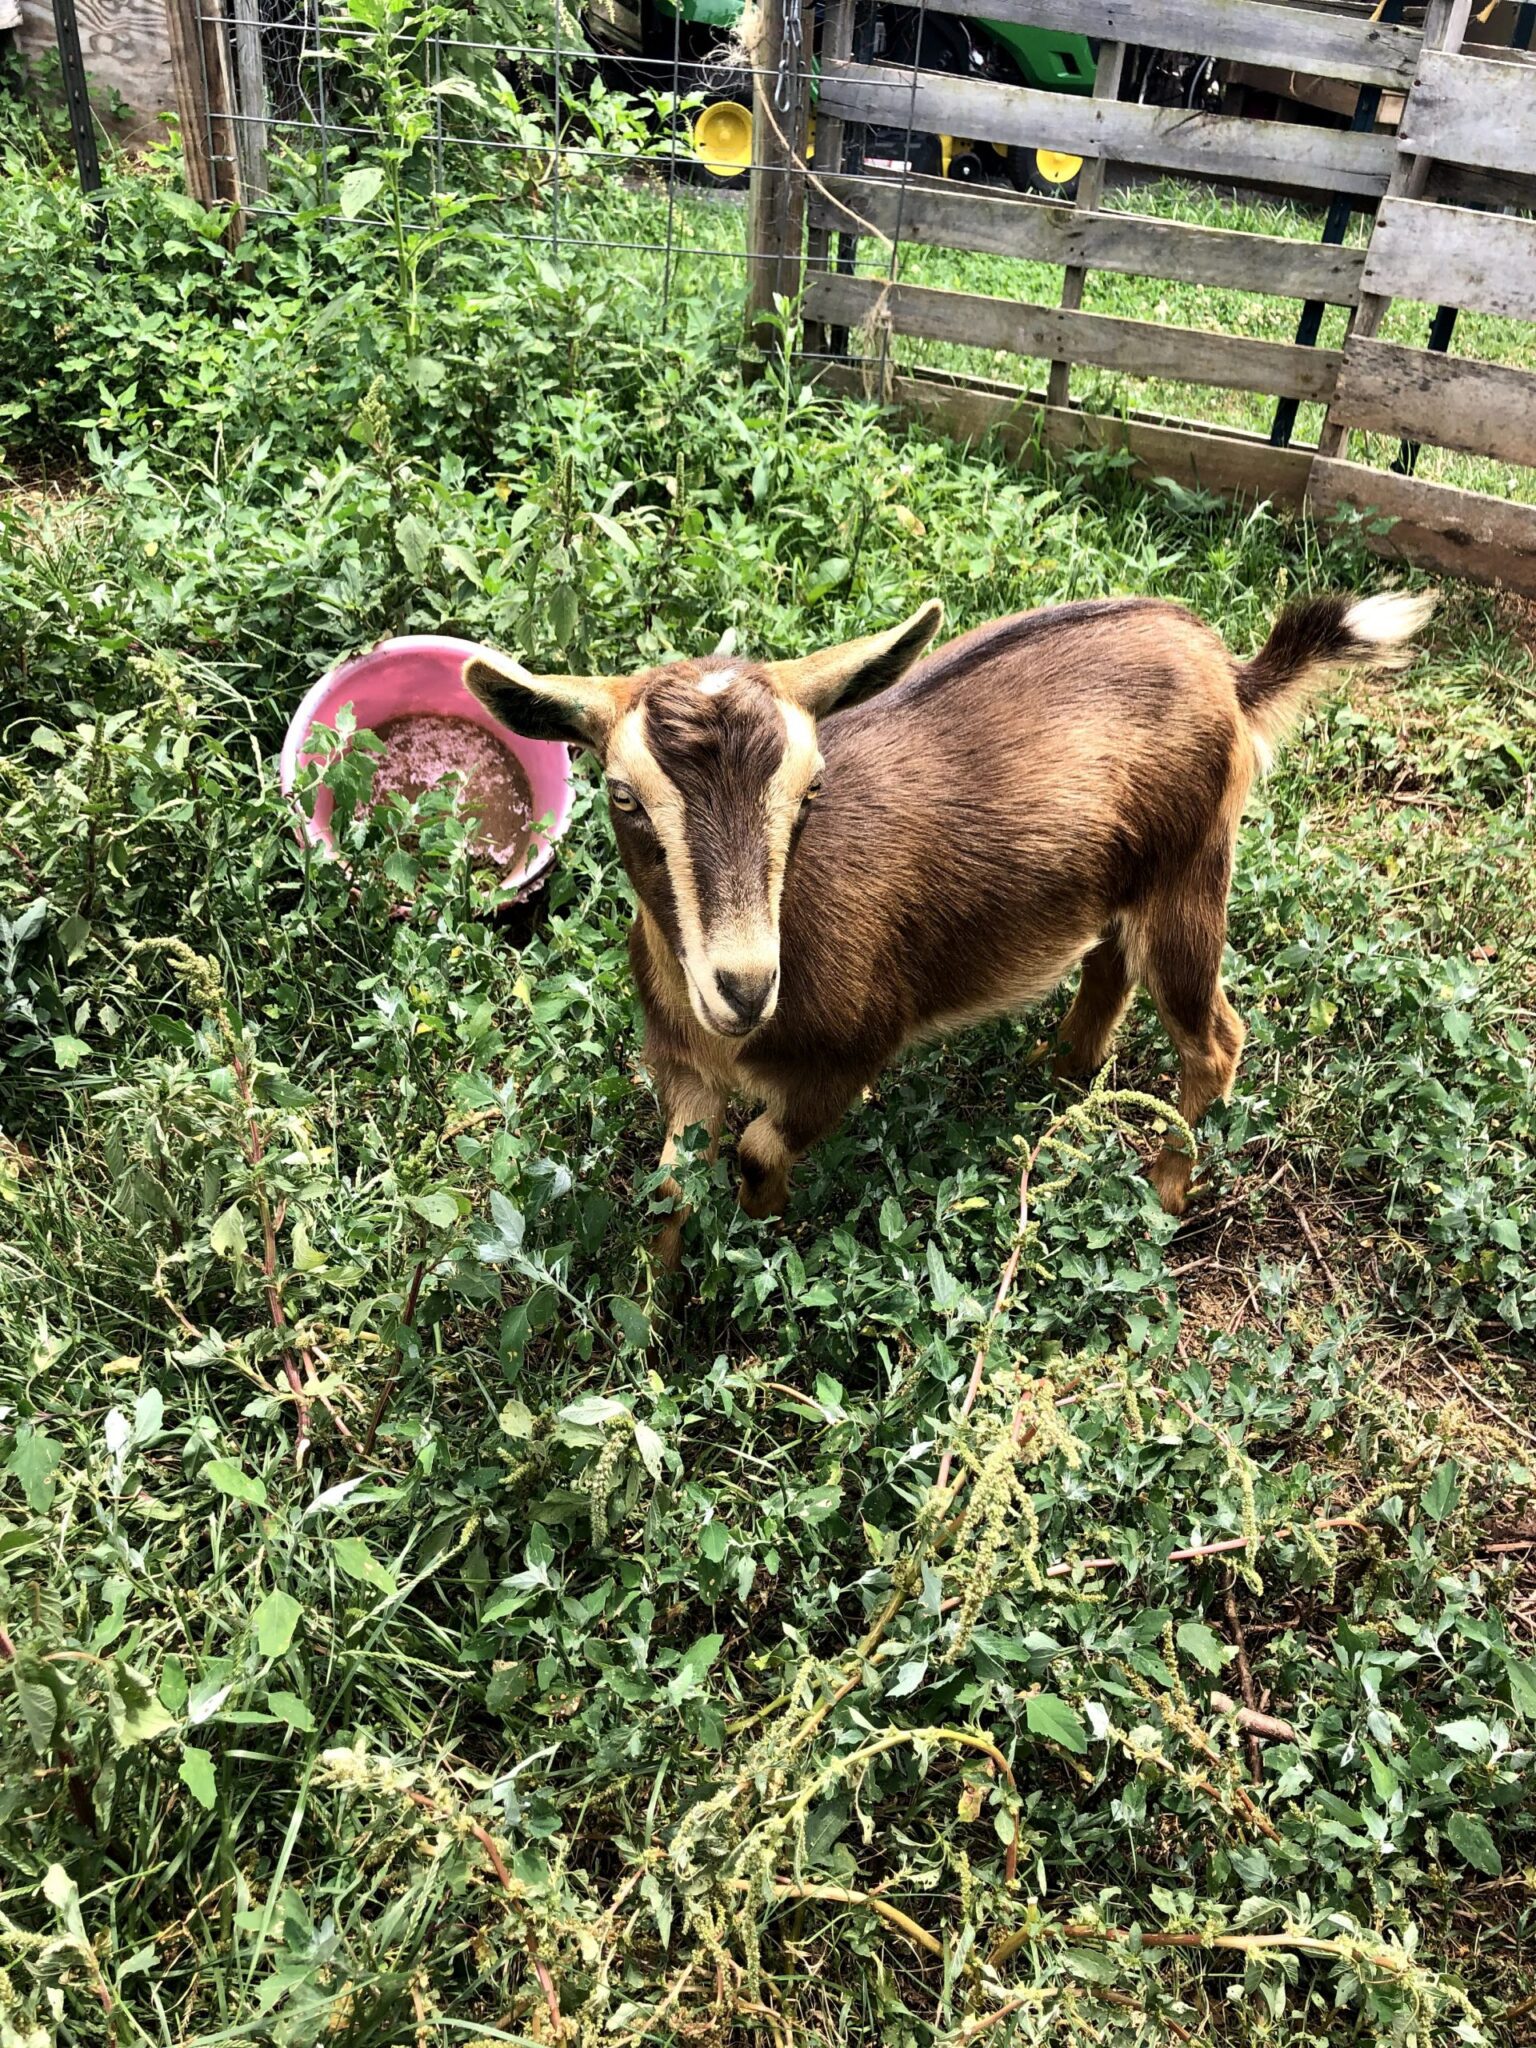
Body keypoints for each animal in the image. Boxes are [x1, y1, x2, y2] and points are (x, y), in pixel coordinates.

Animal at [465, 587, 1434, 1262]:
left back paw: (1164, 1191)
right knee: (1108, 968)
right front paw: (656, 1320)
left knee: (1216, 1038)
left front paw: (762, 1248)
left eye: (810, 791)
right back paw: (1061, 1074)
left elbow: (754, 1153)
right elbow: (669, 1189)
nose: (743, 986)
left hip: (1192, 870)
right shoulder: (682, 1068)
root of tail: (1226, 669)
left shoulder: (844, 1061)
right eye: (624, 796)